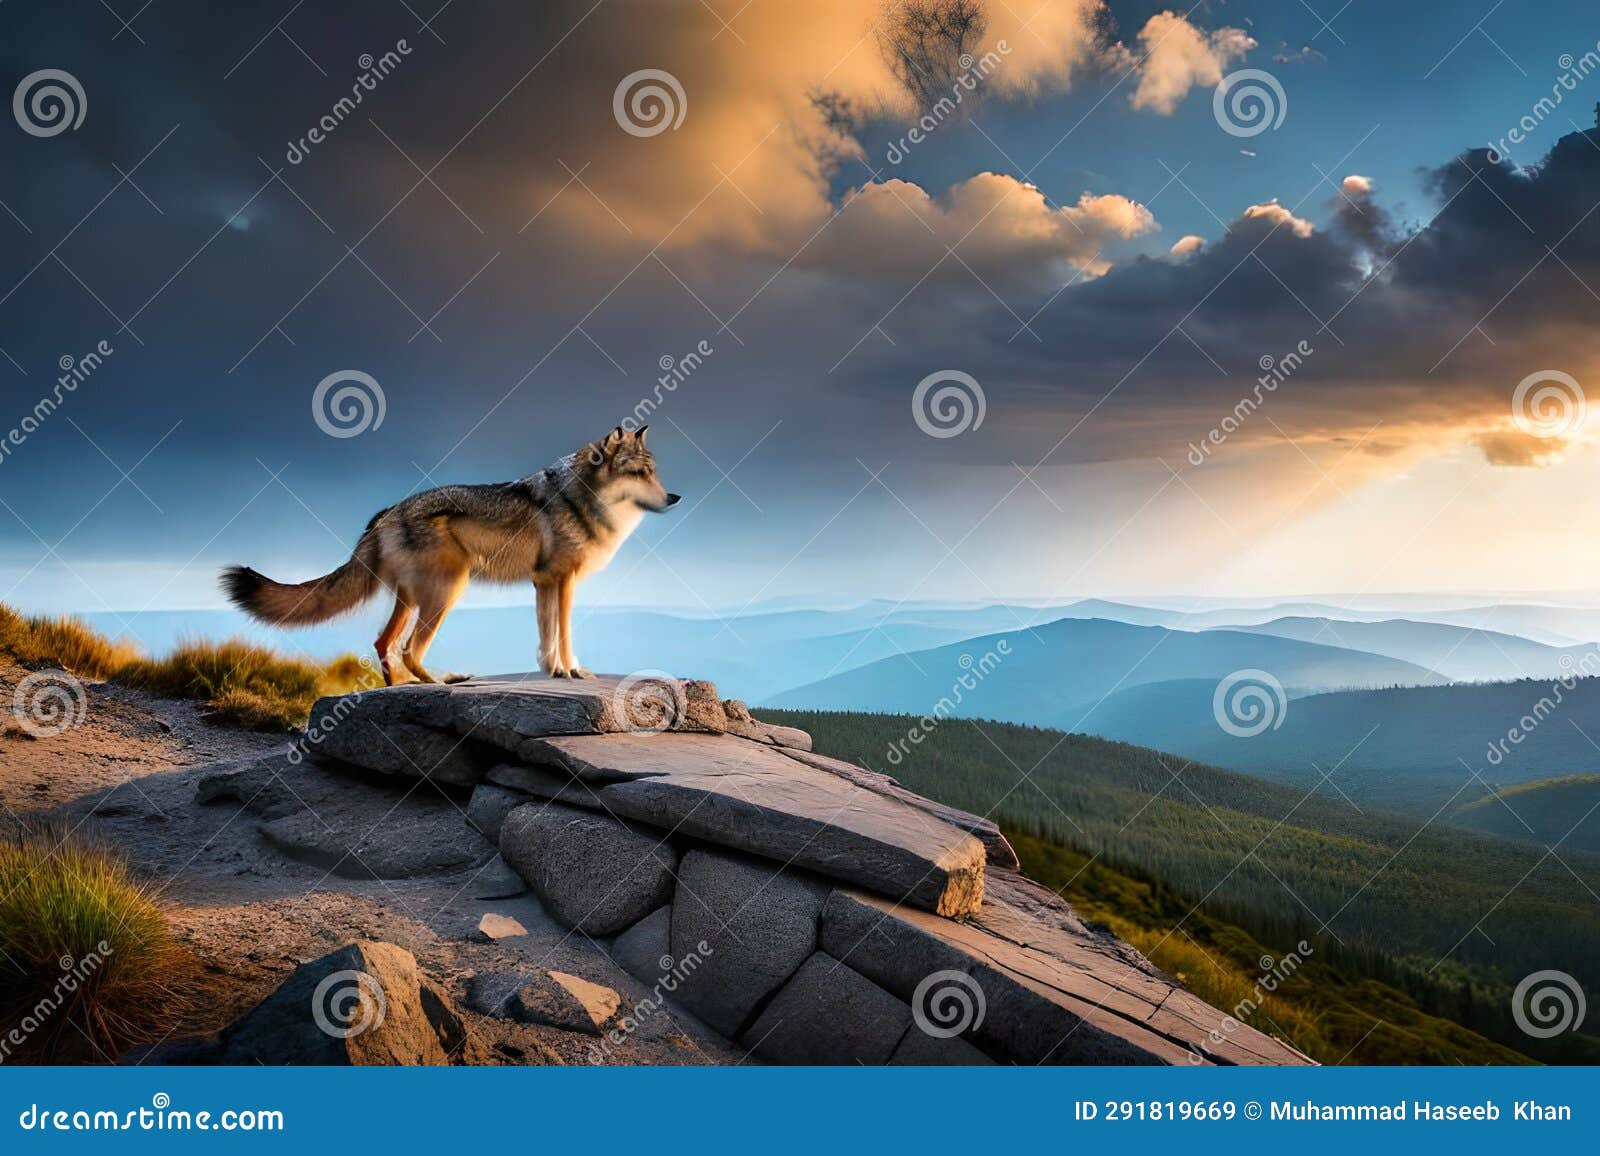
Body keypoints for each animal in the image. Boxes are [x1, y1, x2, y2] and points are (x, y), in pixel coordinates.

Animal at [221, 426, 679, 685]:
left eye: (655, 473)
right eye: (641, 474)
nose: (674, 498)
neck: (581, 499)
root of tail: (387, 512)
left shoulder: (543, 583)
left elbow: (546, 637)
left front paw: (553, 670)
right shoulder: (562, 582)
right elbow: (563, 635)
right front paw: (570, 671)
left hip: (413, 600)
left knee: (384, 643)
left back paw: (407, 687)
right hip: (447, 593)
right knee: (408, 649)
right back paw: (438, 684)